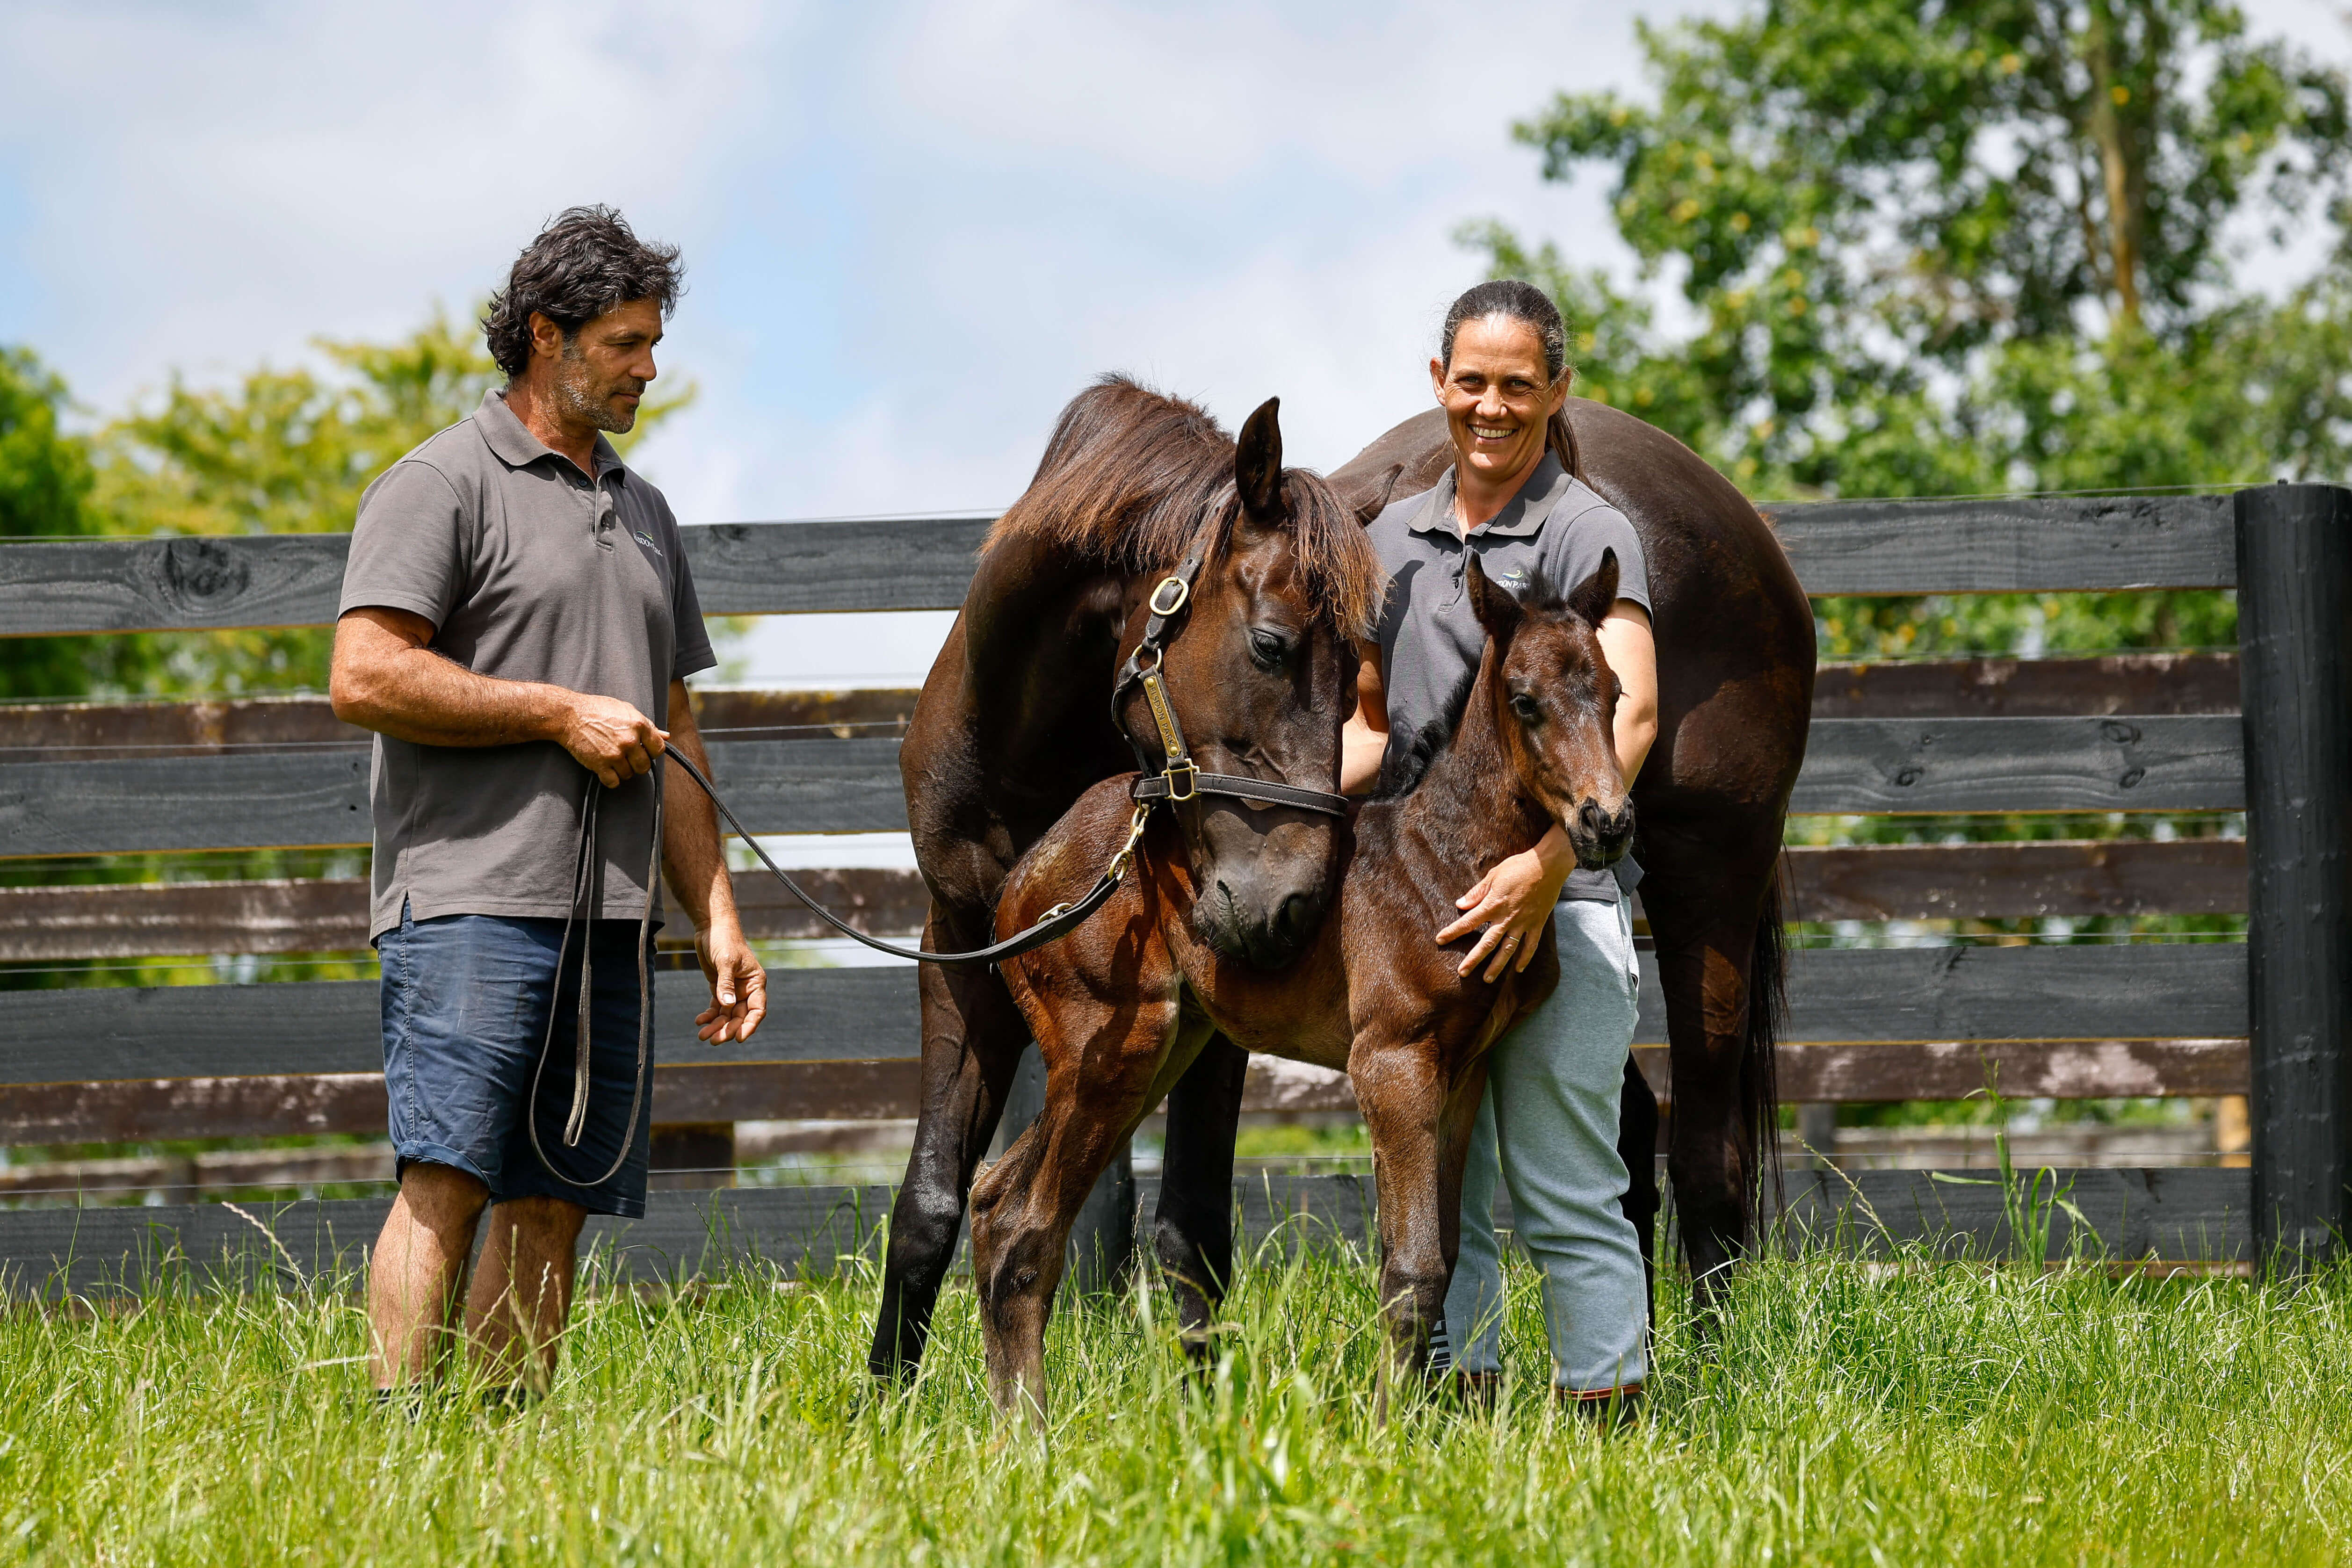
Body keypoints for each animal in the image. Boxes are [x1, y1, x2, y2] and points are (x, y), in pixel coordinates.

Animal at [868, 377, 1386, 1378]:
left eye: (1357, 678)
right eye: (1270, 645)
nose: (1293, 905)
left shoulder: (1211, 978)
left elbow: (1191, 1228)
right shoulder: (956, 941)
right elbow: (927, 1208)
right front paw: (886, 1400)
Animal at [976, 553, 1635, 1420]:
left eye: (1616, 693)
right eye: (1525, 700)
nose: (1607, 822)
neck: (1443, 861)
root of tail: (1024, 880)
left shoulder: (1461, 1071)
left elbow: (1441, 1256)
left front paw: (1418, 1420)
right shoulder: (1391, 1060)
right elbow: (1412, 1268)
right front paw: (1386, 1431)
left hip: (1161, 1049)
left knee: (991, 1198)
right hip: (1110, 1046)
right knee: (1025, 1230)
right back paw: (1029, 1433)